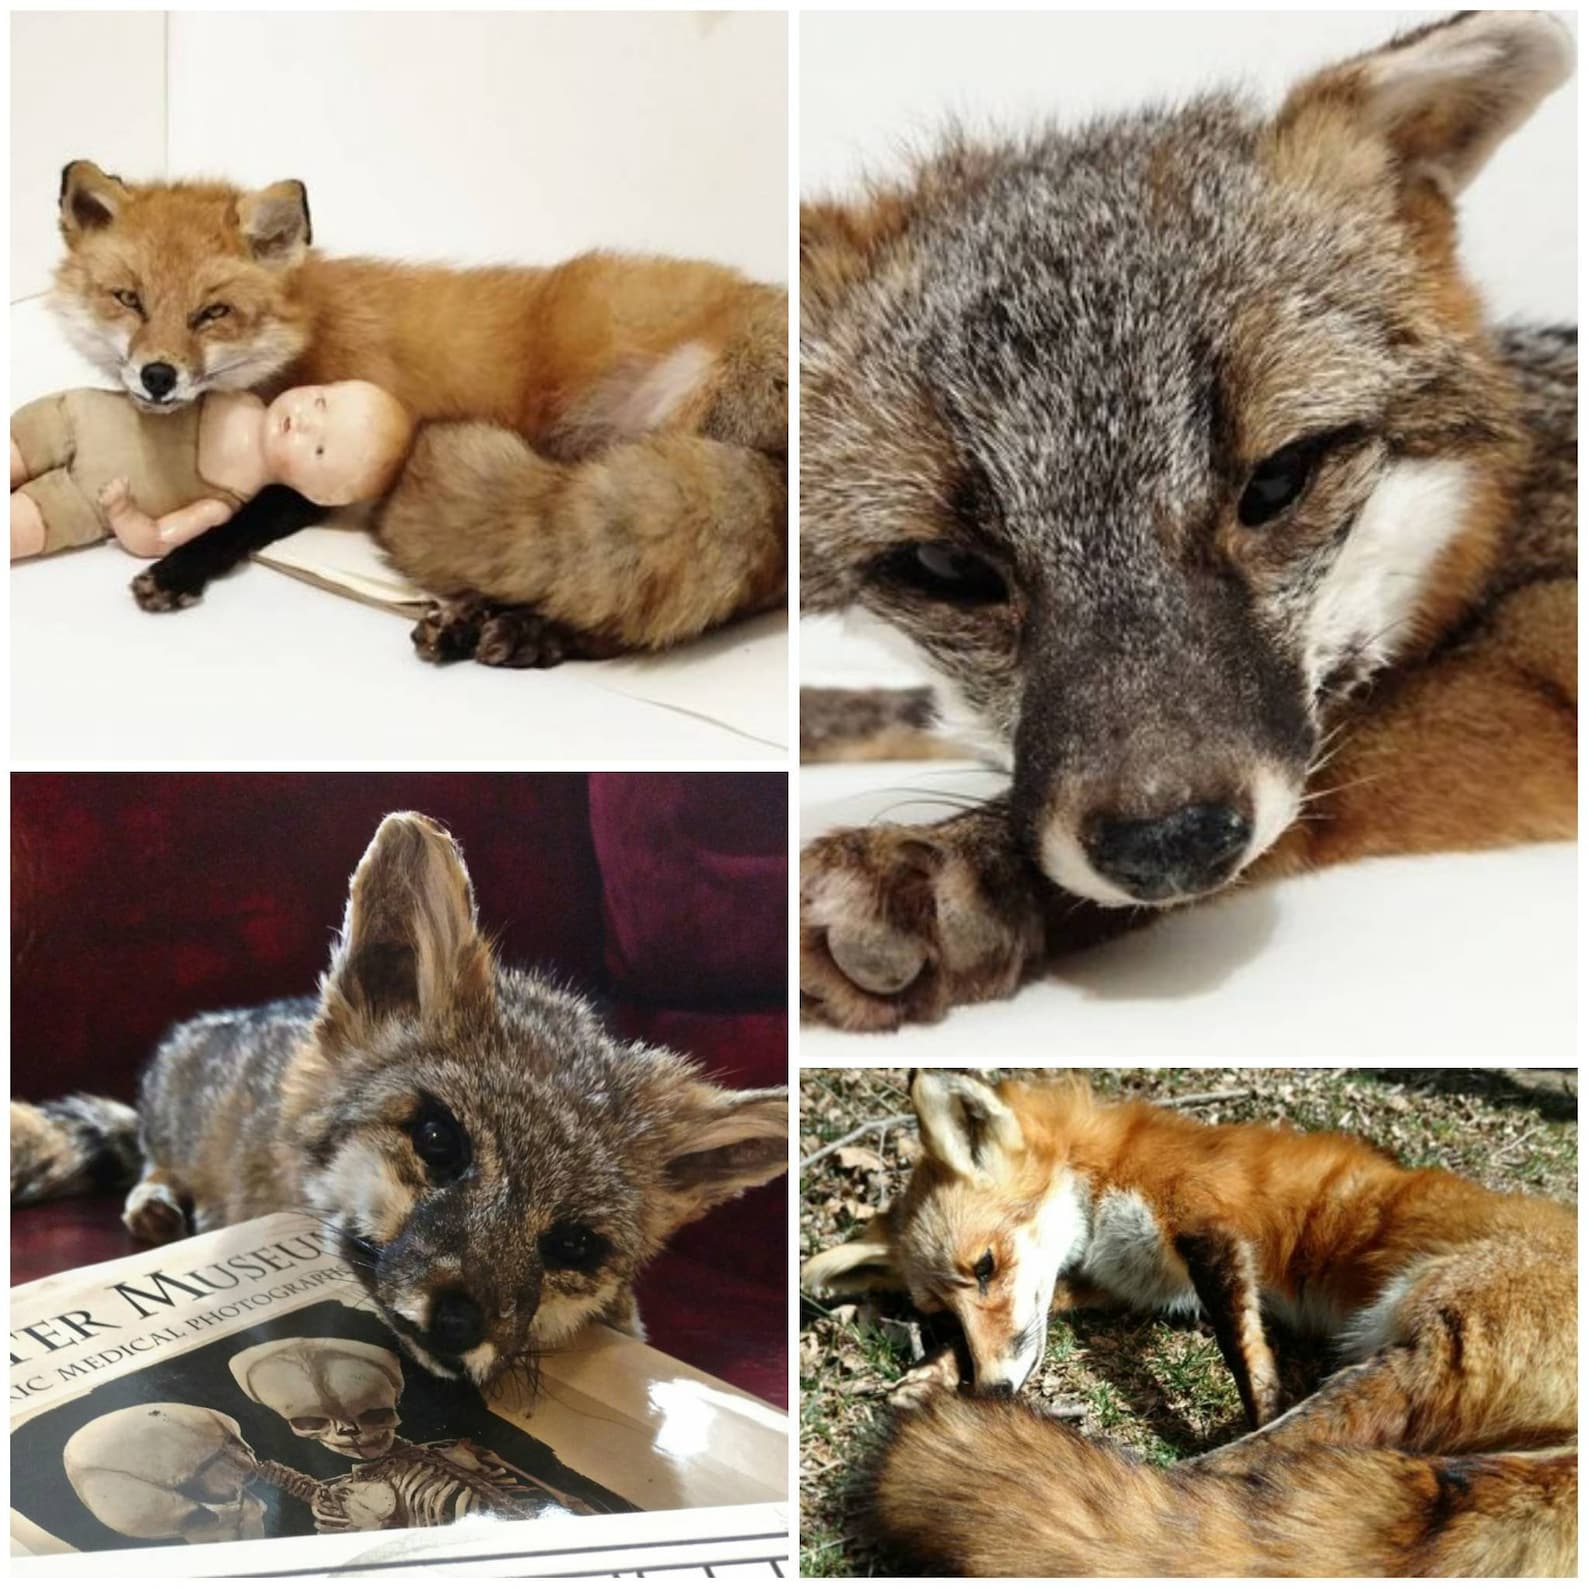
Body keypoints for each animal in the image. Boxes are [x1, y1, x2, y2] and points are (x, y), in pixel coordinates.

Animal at [12, 812, 789, 1389]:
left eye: (573, 1244)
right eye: (438, 1141)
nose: (461, 1325)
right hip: (178, 1115)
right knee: (151, 1153)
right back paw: (158, 1199)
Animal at [48, 161, 787, 666]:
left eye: (212, 313)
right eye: (128, 299)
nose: (158, 377)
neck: (308, 325)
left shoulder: (344, 452)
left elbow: (243, 518)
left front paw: (180, 569)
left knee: (656, 616)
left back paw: (519, 633)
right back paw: (476, 625)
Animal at [799, 11, 1577, 1029]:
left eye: (1280, 479)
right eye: (944, 568)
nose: (1170, 843)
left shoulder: (1540, 668)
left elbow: (1339, 758)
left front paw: (961, 863)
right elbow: (897, 712)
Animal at [802, 1070, 1577, 1575]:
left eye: (986, 1266)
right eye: (940, 1312)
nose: (991, 1392)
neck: (1106, 1170)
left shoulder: (1209, 1222)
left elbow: (1240, 1346)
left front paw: (1261, 1392)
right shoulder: (1131, 1283)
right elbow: (1056, 1306)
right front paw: (933, 1370)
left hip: (1422, 1345)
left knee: (1279, 1447)